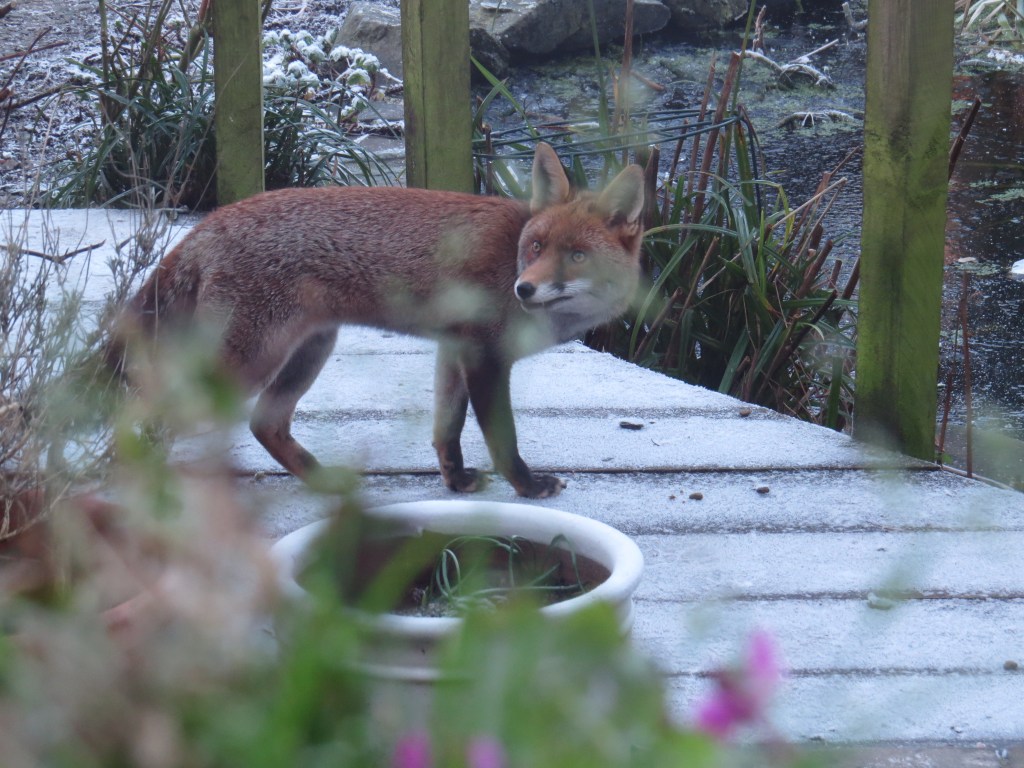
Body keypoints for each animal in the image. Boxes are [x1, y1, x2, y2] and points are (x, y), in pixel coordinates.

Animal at [111, 143, 645, 498]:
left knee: (265, 424)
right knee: (145, 415)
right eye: (535, 247)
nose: (525, 288)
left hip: (309, 350)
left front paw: (455, 480)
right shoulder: (486, 357)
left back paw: (324, 481)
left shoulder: (454, 349)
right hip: (246, 362)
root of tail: (207, 223)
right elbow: (502, 437)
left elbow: (446, 428)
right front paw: (527, 485)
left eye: (576, 256)